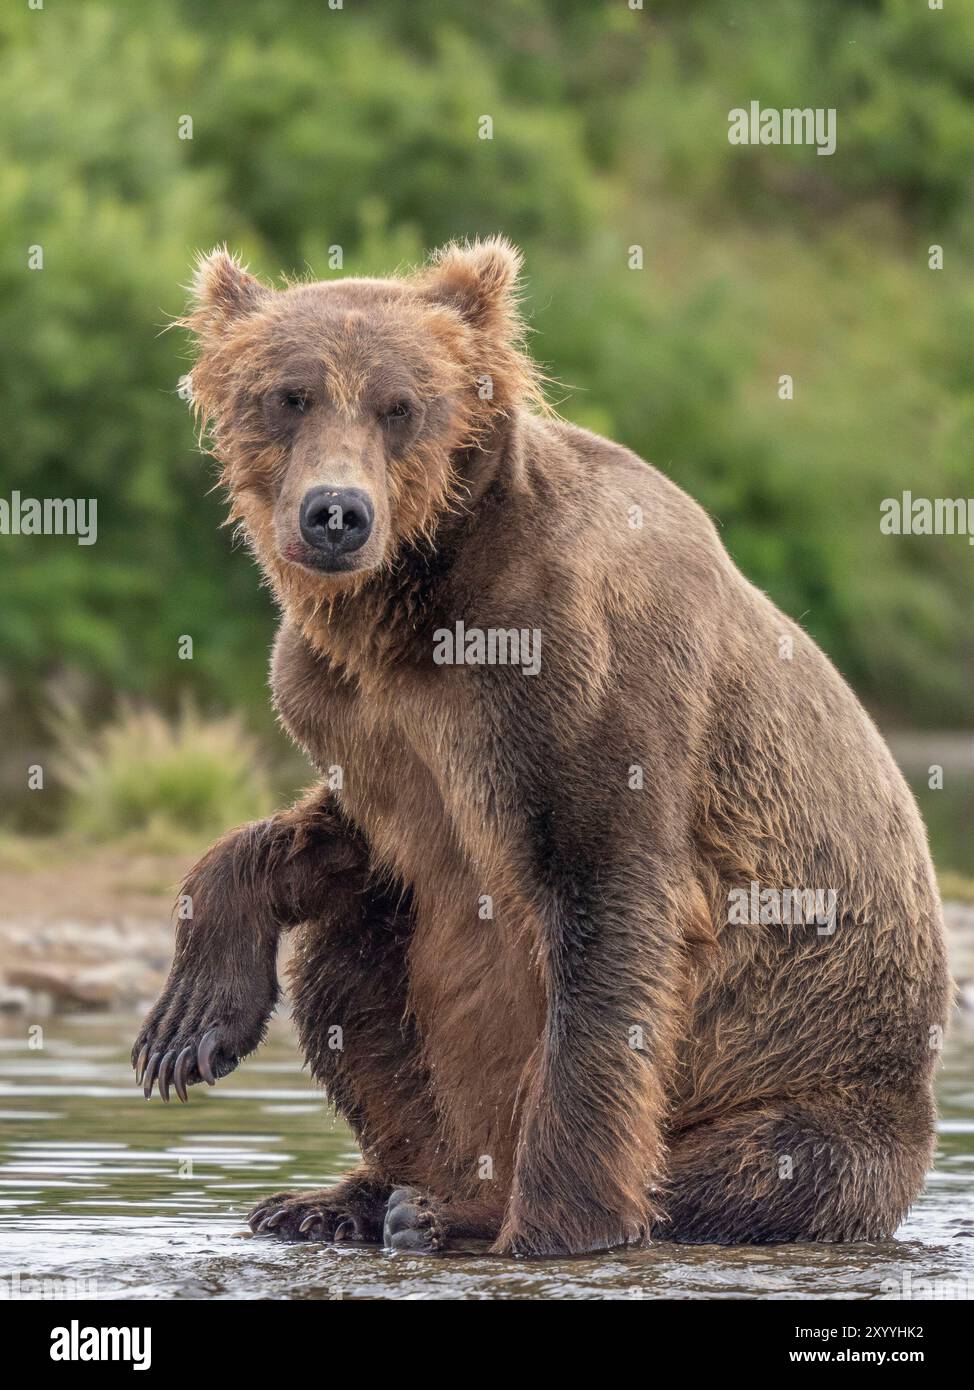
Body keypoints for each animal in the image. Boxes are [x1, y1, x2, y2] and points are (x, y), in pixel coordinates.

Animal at [133, 237, 950, 1255]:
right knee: (351, 973)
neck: (417, 613)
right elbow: (342, 839)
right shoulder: (355, 715)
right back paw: (352, 1199)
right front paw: (186, 1028)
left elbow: (608, 926)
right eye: (289, 396)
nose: (335, 514)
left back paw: (450, 1211)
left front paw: (556, 1229)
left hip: (818, 1076)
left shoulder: (579, 681)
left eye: (401, 407)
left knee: (764, 1164)